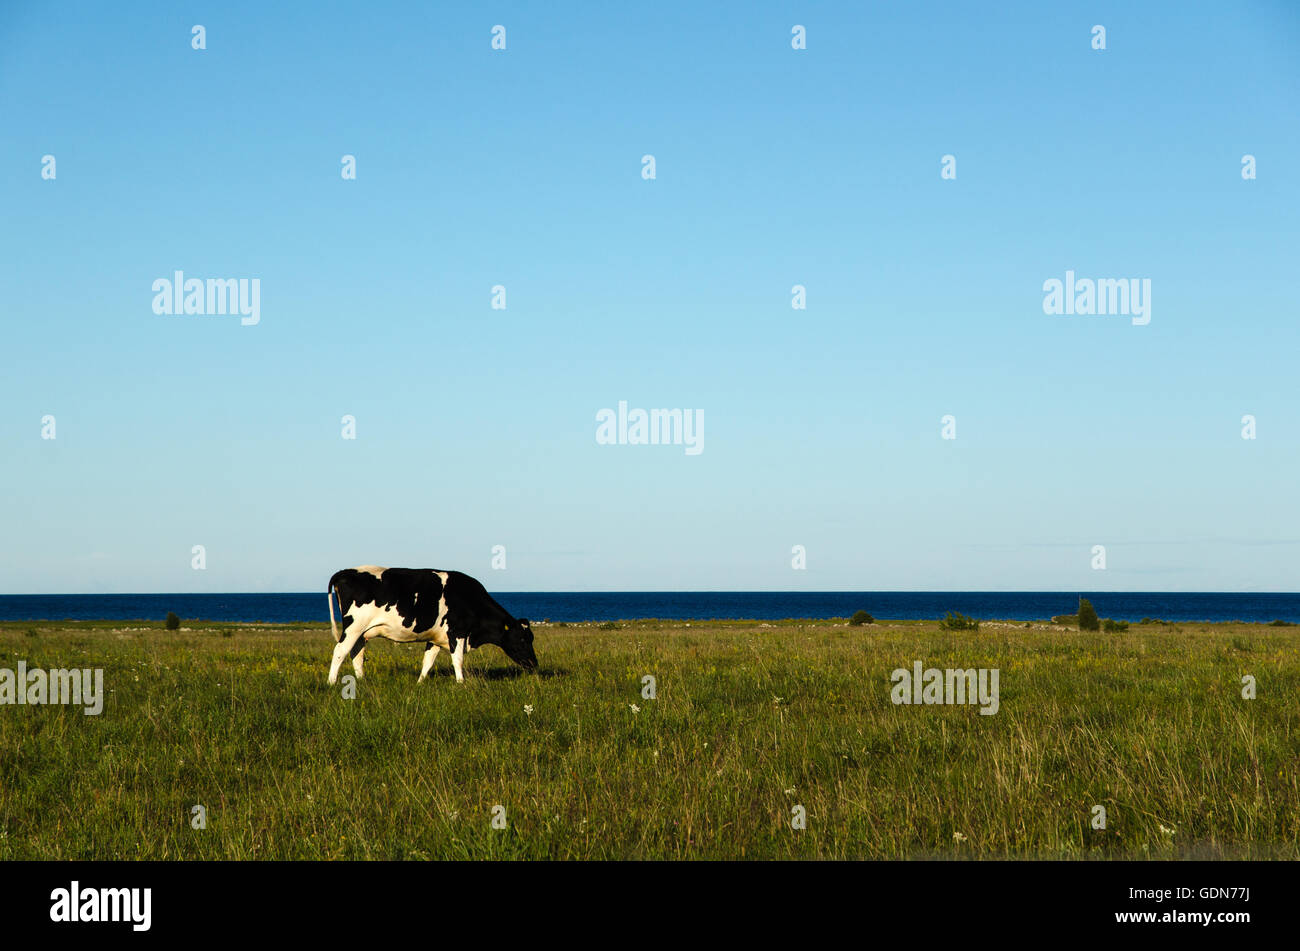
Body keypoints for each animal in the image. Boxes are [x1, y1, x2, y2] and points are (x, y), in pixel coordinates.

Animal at [326, 566, 538, 685]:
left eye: (531, 638)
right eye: (521, 639)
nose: (534, 664)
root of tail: (345, 572)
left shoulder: (436, 638)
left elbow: (427, 662)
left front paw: (420, 683)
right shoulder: (457, 632)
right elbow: (458, 660)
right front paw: (461, 682)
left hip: (362, 632)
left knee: (356, 654)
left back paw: (362, 680)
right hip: (354, 626)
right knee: (340, 651)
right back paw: (331, 682)